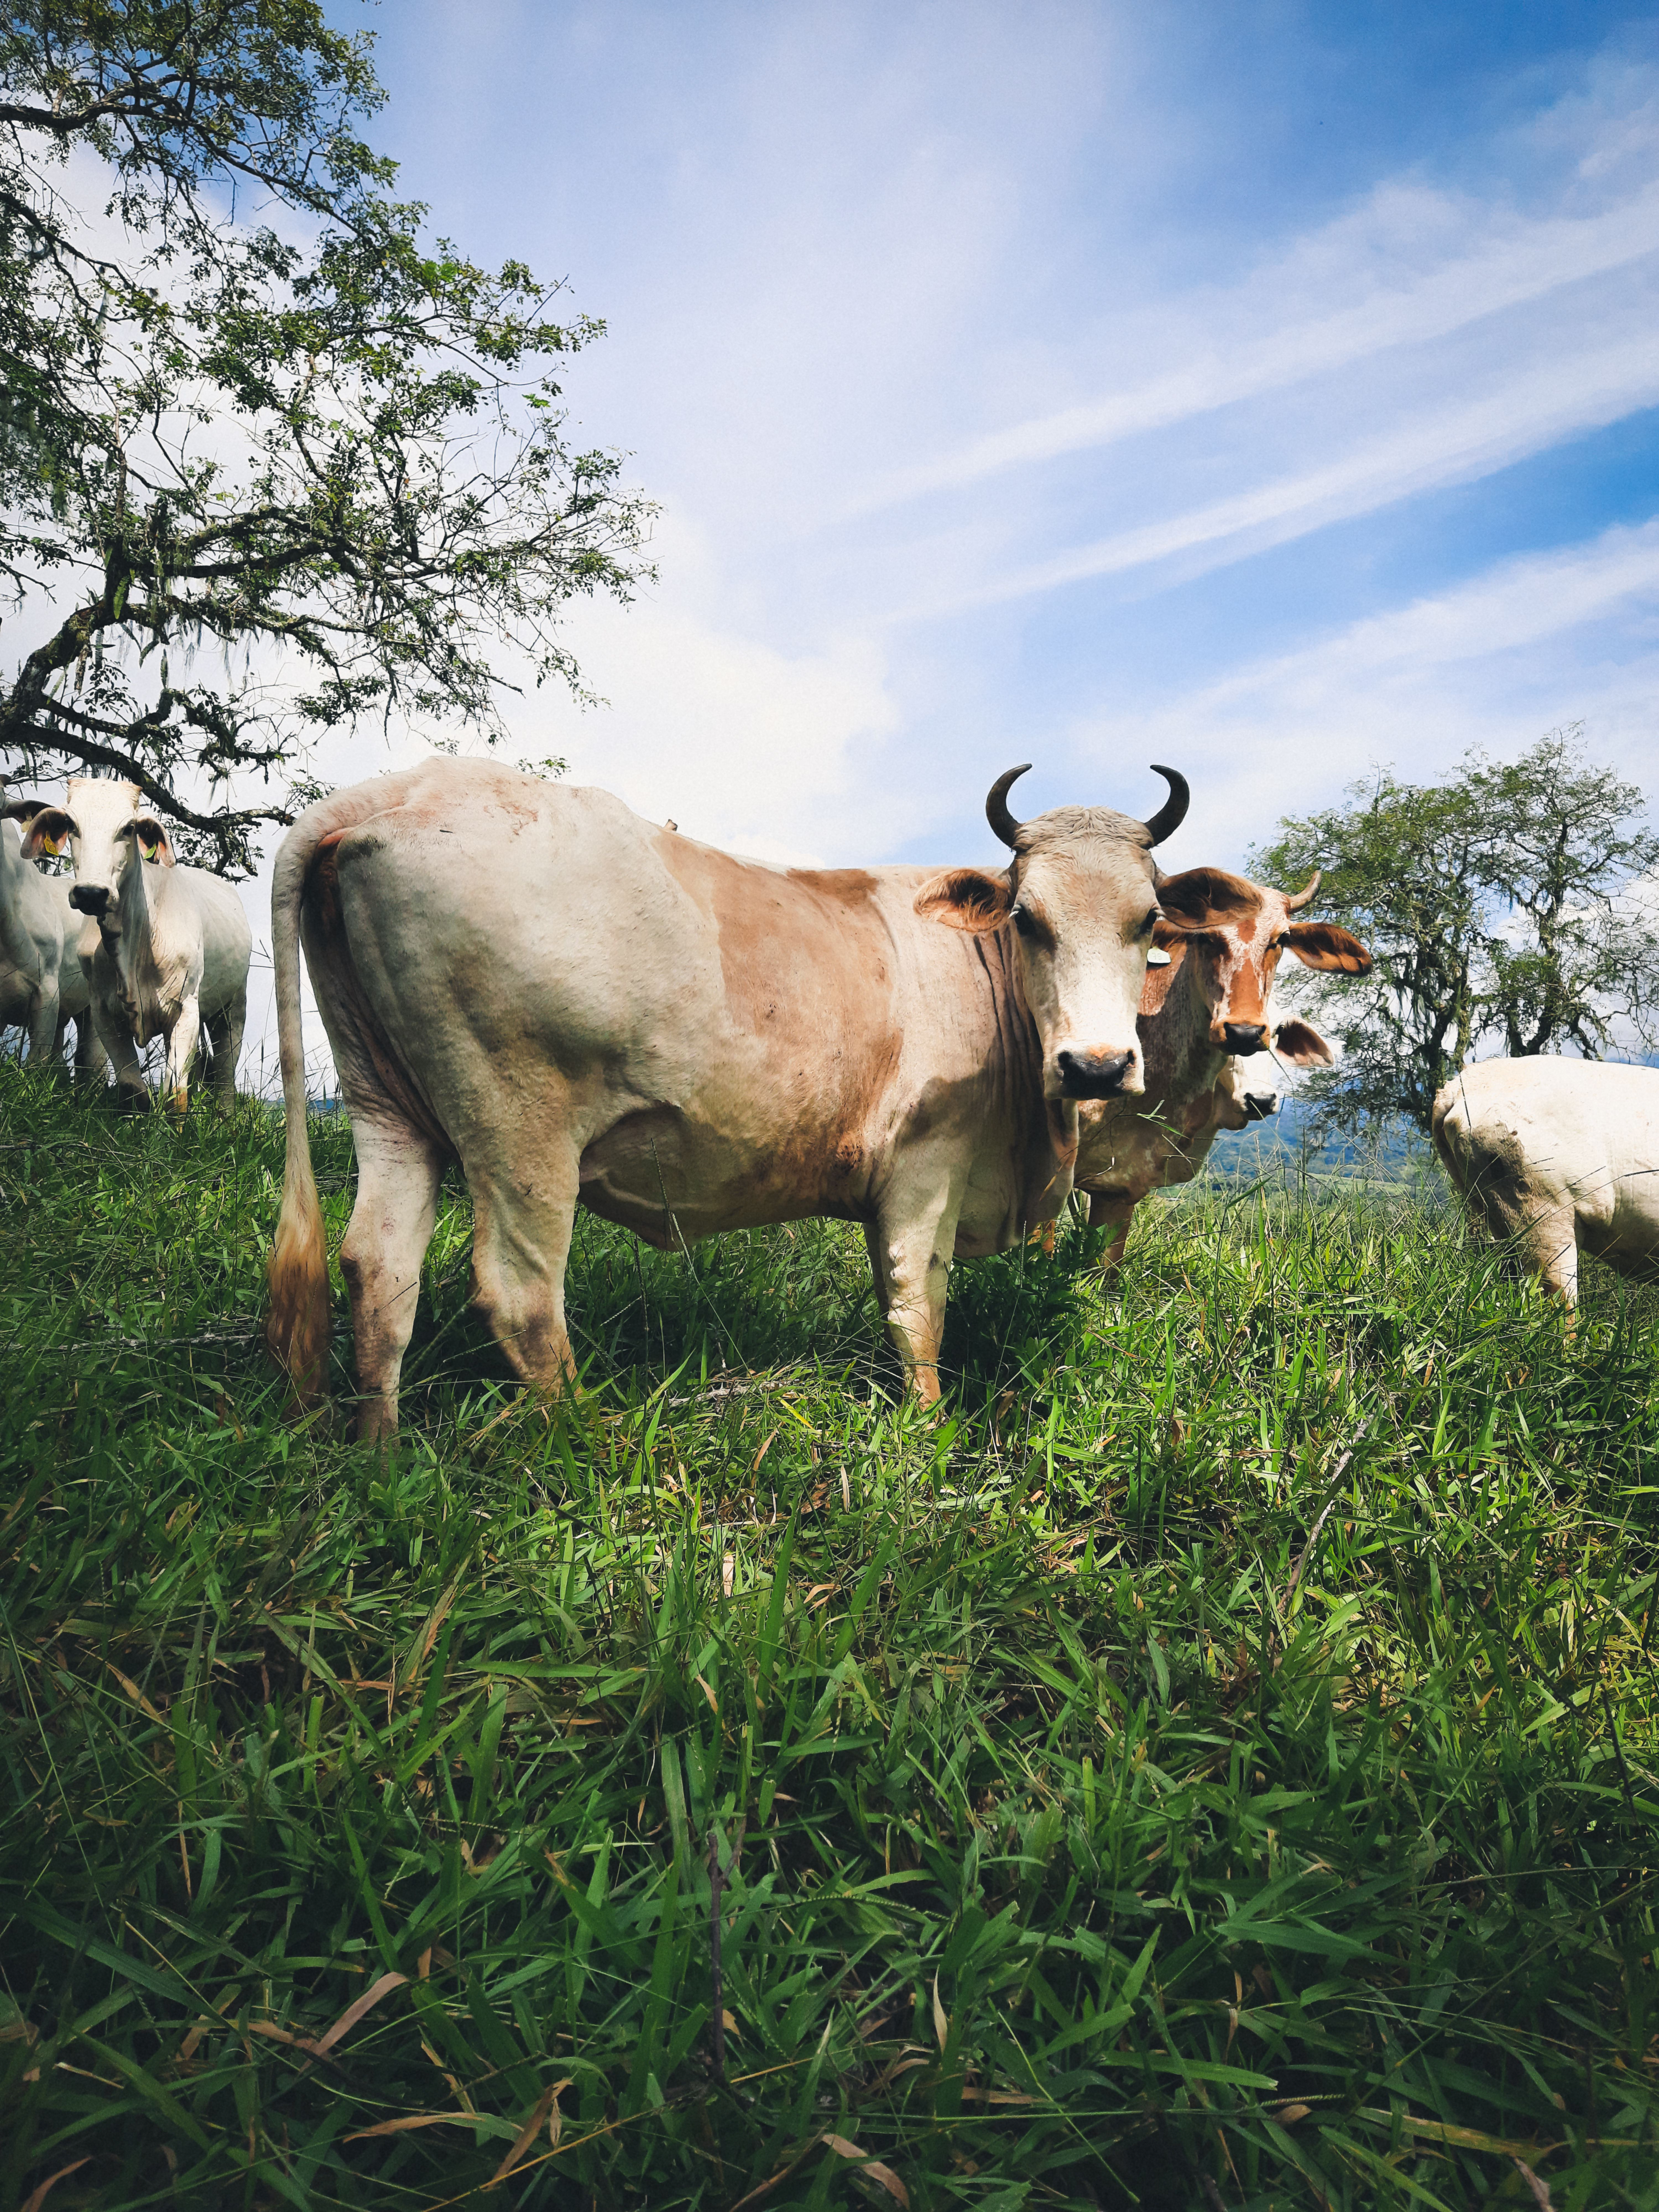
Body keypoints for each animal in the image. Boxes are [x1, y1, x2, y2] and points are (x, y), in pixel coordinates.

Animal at [265, 755, 1192, 1436]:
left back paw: (380, 1455)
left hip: (389, 1111)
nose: (1097, 1067)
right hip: (519, 1131)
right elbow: (916, 1307)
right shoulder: (928, 1162)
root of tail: (410, 784)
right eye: (1028, 919)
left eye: (1148, 921)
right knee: (517, 1293)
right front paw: (927, 1438)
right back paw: (579, 1449)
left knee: (378, 1267)